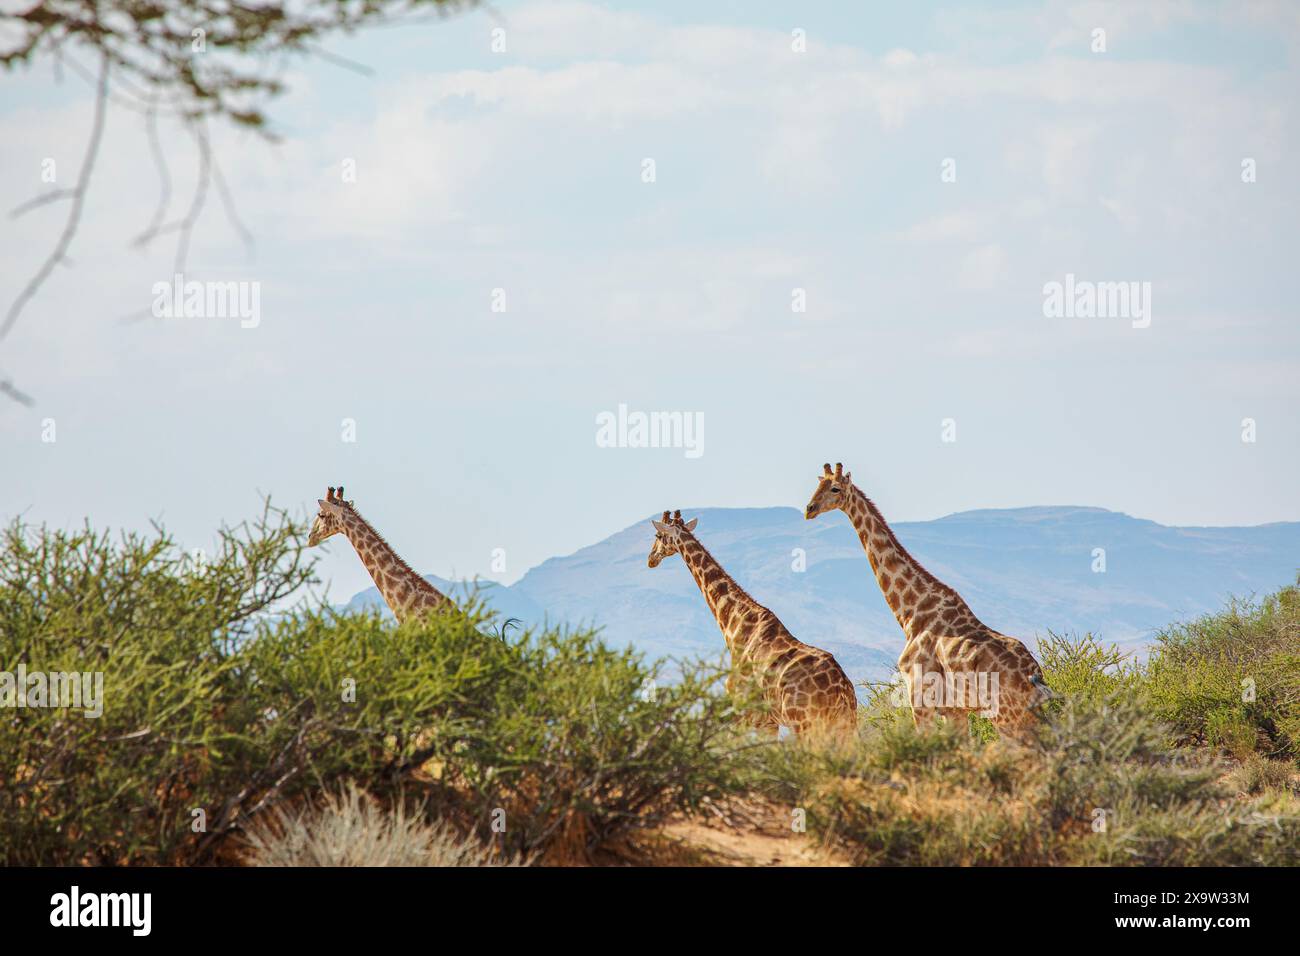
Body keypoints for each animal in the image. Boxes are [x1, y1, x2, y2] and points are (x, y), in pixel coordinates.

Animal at [647, 510, 857, 738]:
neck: (734, 624)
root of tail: (842, 689)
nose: (650, 559)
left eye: (658, 536)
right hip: (844, 726)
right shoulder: (768, 723)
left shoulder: (743, 714)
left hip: (807, 725)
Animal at [804, 464, 1053, 741]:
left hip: (1007, 714)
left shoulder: (919, 698)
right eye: (818, 485)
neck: (911, 612)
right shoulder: (954, 710)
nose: (809, 509)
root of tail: (1035, 674)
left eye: (835, 489)